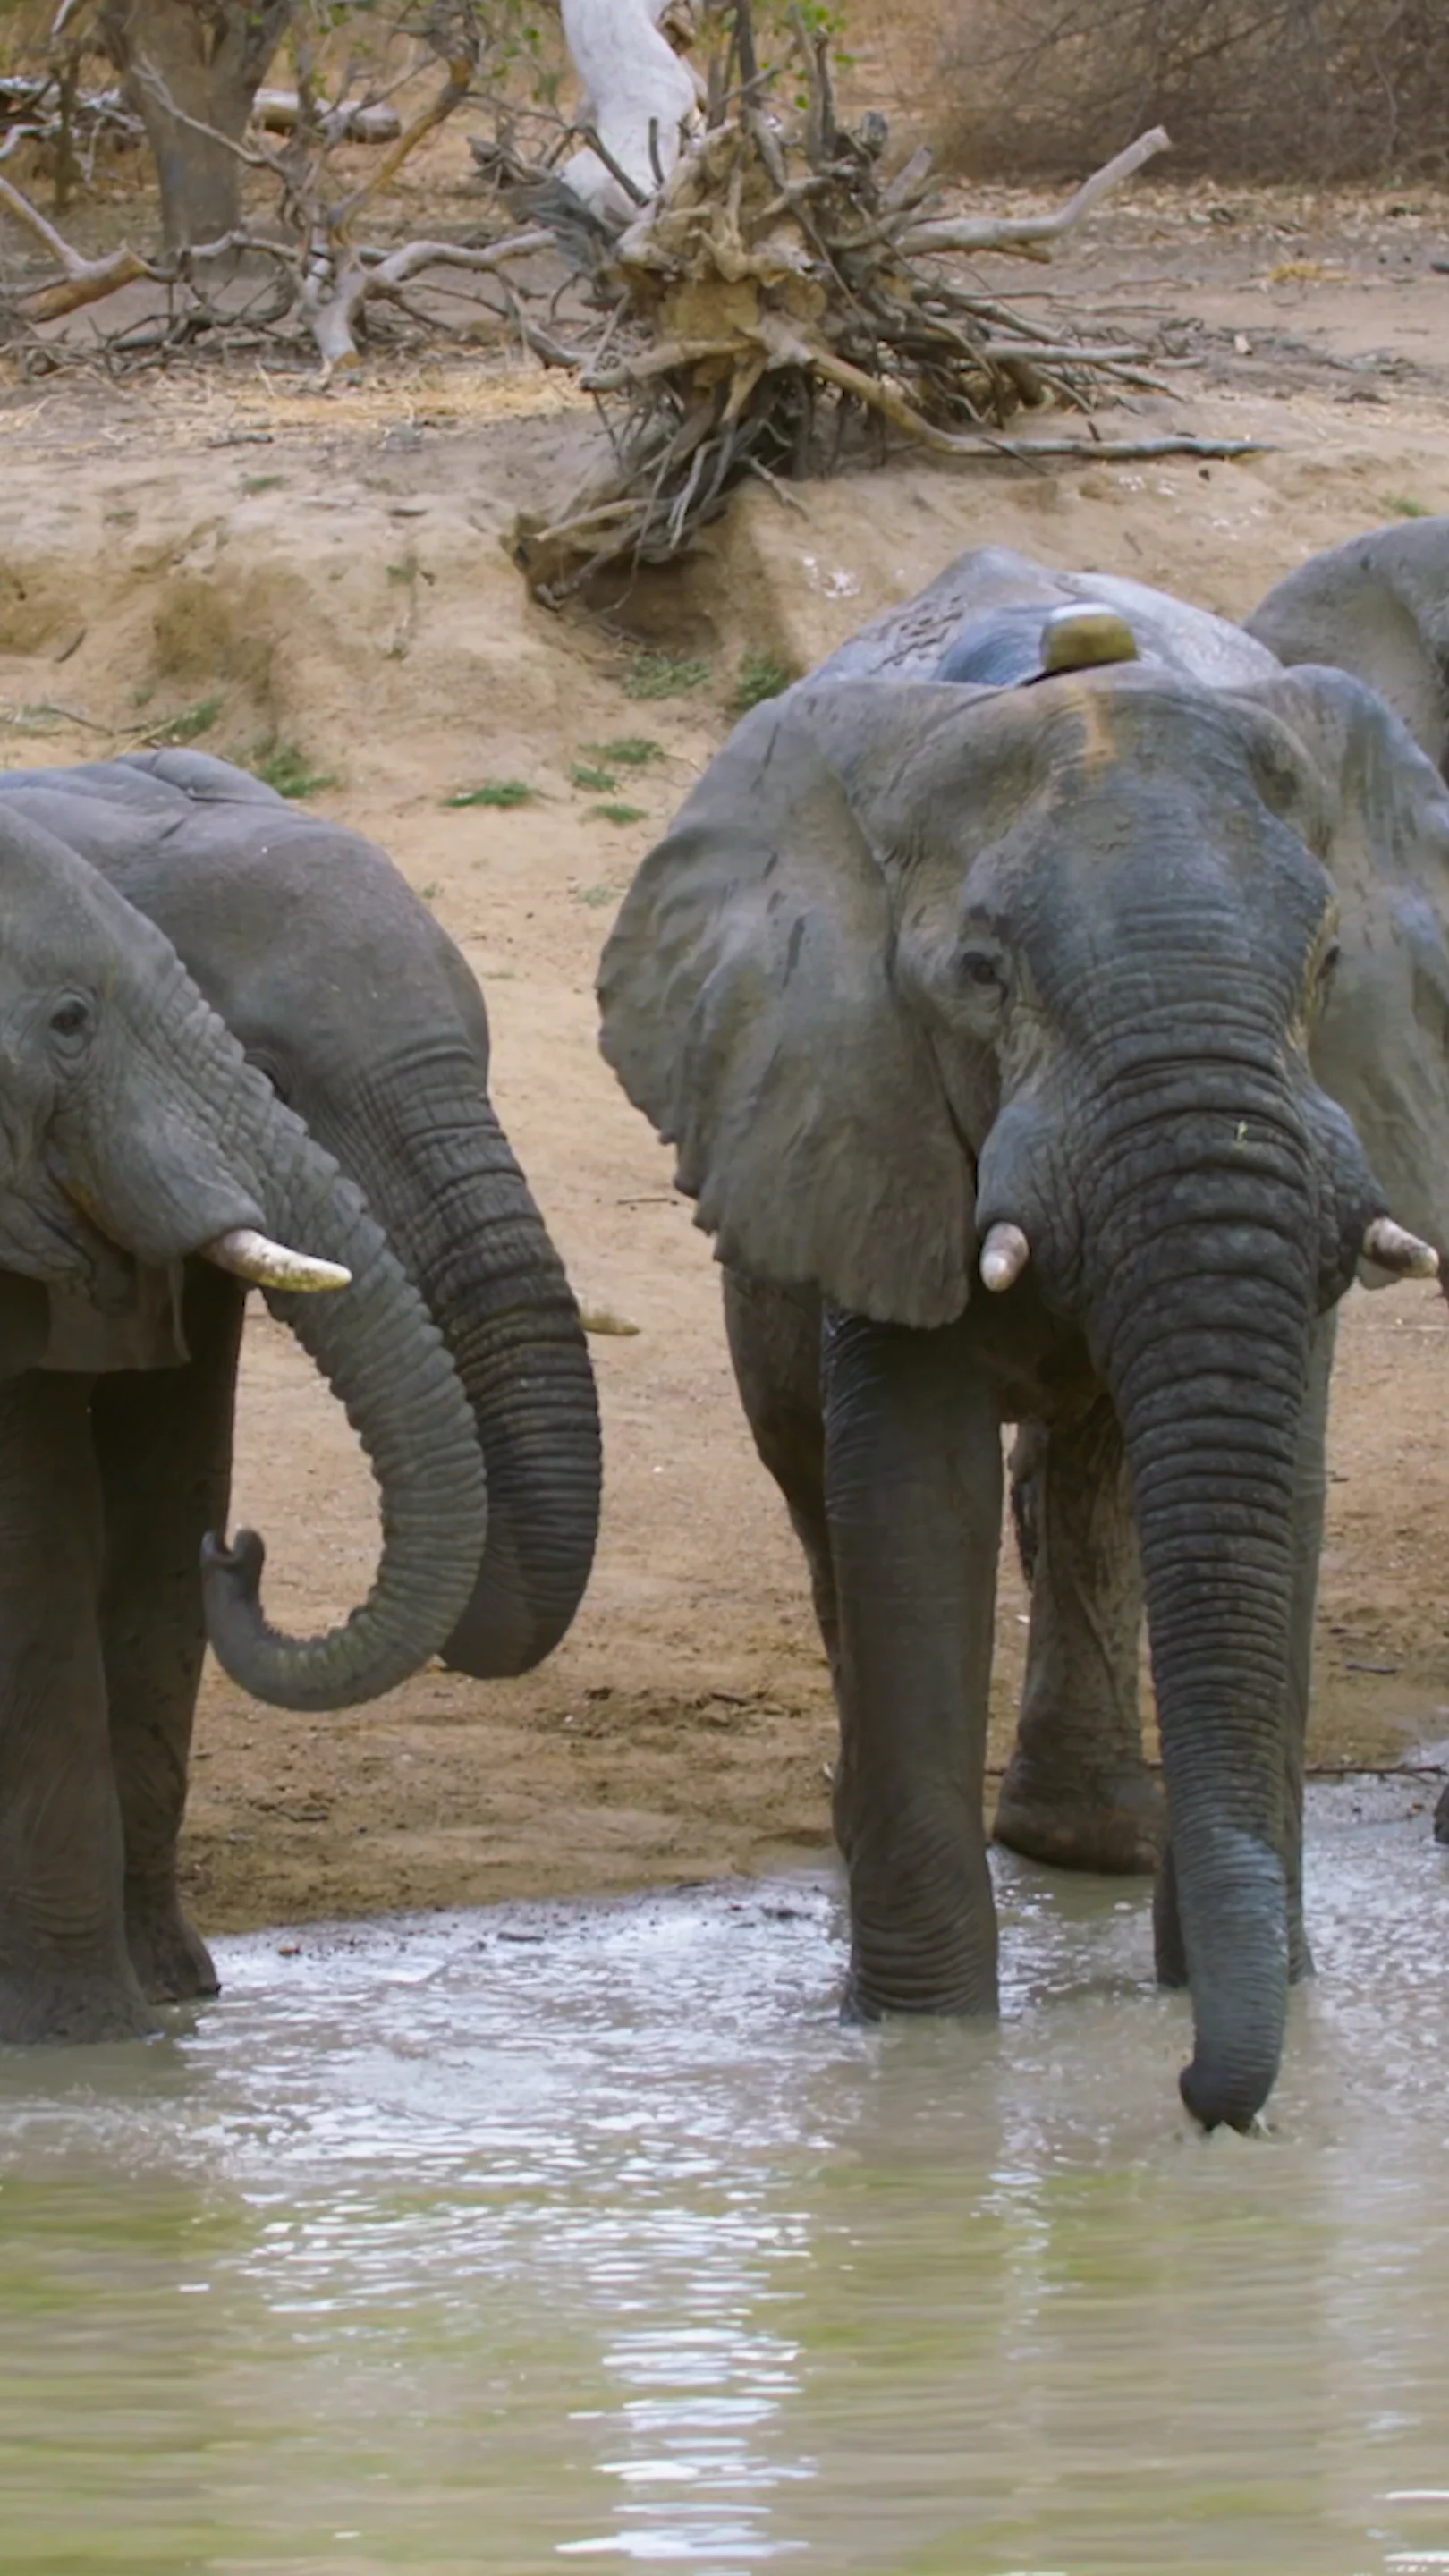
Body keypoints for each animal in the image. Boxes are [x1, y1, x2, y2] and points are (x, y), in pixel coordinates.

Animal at [0, 749, 599, 2047]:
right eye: (274, 1073)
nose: (249, 1553)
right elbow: (35, 1551)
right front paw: (89, 2041)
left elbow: (166, 1499)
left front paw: (175, 1998)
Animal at [597, 544, 1449, 2131]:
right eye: (983, 973)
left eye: (1325, 963)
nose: (1207, 2106)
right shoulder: (869, 1090)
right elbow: (909, 1503)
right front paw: (921, 2048)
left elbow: (1279, 1496)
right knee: (818, 1491)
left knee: (1097, 1463)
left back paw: (1090, 1842)